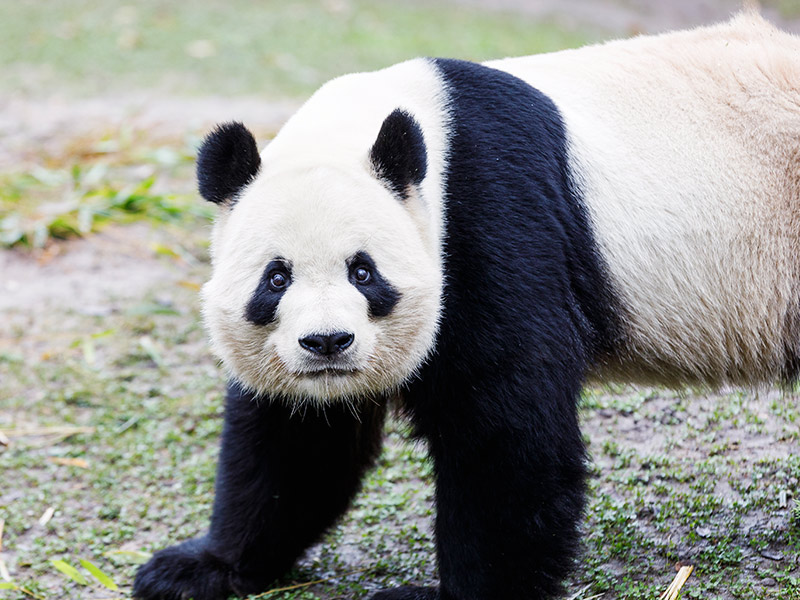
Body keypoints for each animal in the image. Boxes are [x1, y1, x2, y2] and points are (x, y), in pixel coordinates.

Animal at [134, 12, 800, 600]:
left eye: (363, 271)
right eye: (276, 278)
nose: (327, 344)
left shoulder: (493, 222)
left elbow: (505, 428)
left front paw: (446, 595)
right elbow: (296, 442)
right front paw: (198, 568)